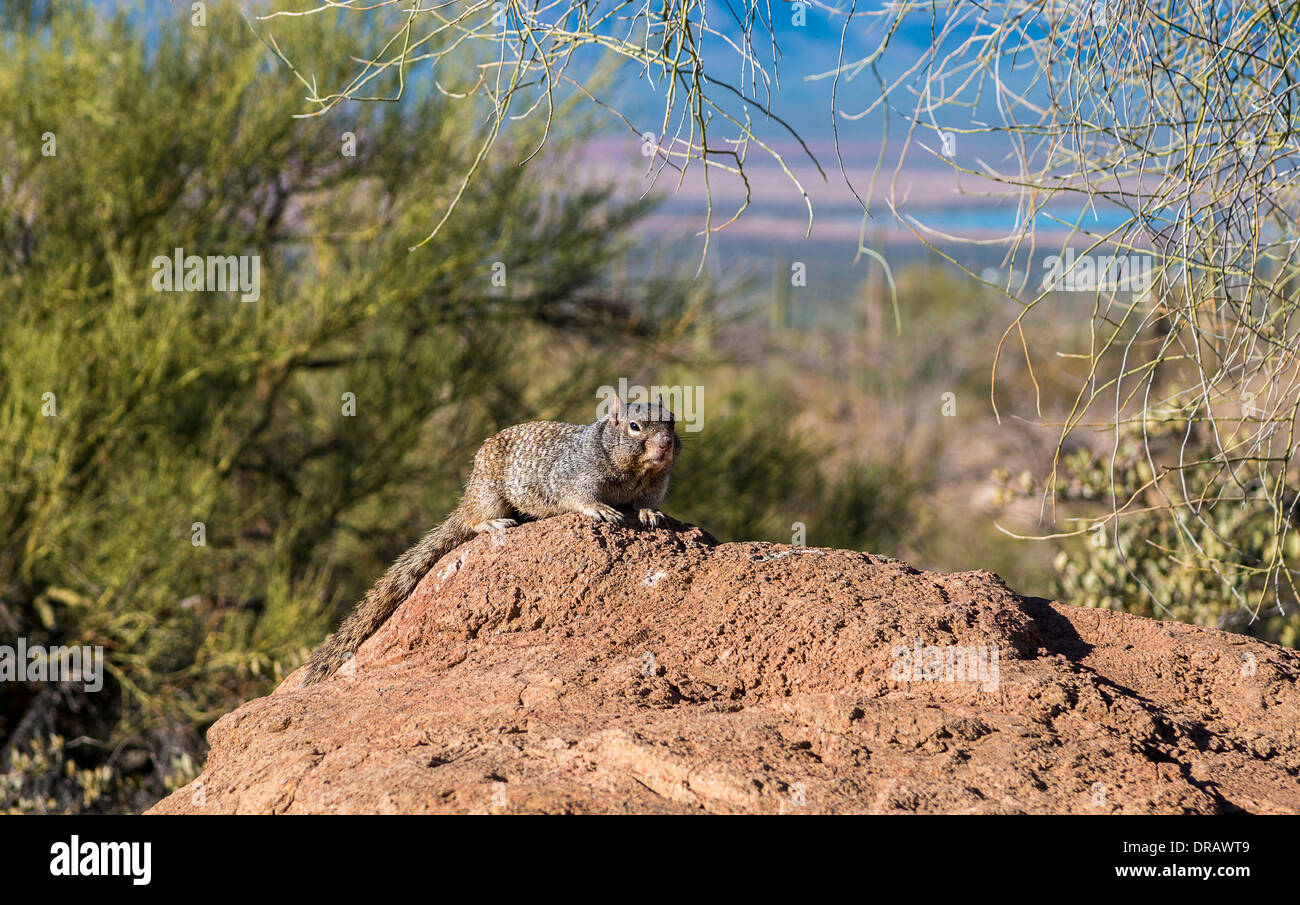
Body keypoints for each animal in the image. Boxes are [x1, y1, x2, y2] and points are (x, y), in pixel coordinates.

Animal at [301, 394, 682, 685]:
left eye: (673, 422)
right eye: (635, 426)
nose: (665, 445)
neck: (633, 471)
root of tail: (468, 493)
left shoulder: (654, 486)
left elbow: (648, 503)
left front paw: (650, 514)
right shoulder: (576, 477)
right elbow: (581, 497)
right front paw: (602, 510)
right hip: (489, 494)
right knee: (473, 520)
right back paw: (493, 523)